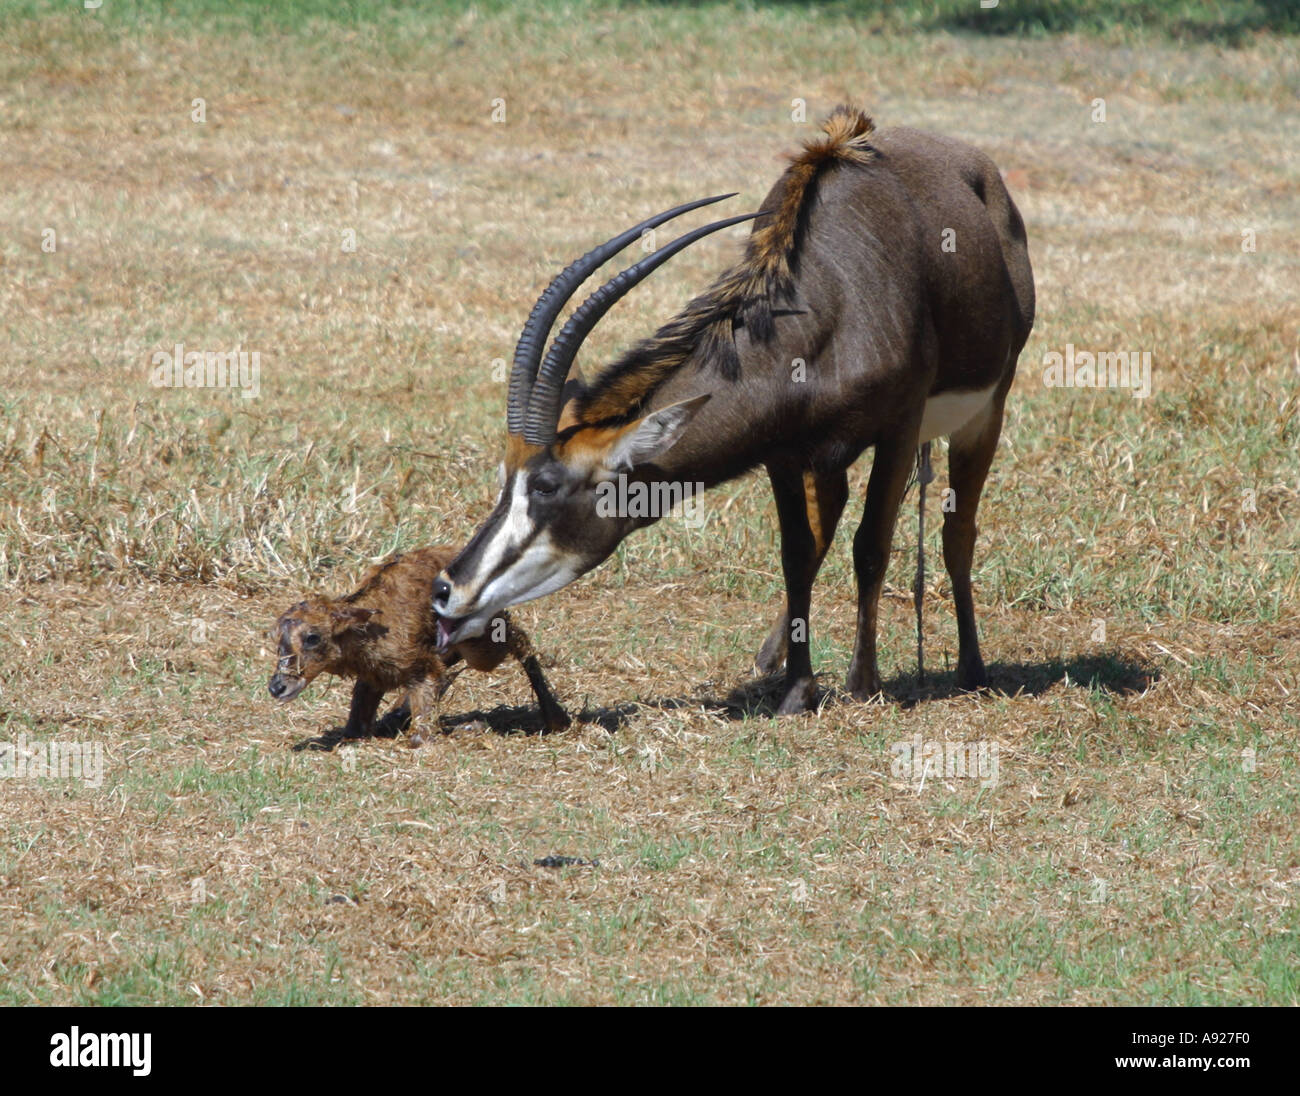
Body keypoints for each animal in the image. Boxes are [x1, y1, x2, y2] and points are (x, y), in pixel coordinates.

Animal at [269, 546, 571, 739]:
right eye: (277, 639)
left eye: (312, 637)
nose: (277, 687)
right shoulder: (373, 676)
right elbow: (355, 729)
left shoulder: (421, 668)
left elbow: (421, 735)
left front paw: (468, 728)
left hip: (483, 647)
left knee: (519, 640)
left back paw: (556, 718)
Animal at [432, 107, 1035, 715]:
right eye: (505, 478)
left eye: (547, 485)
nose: (446, 589)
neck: (833, 306)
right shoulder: (783, 453)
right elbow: (797, 552)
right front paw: (796, 690)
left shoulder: (898, 430)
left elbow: (871, 546)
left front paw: (863, 685)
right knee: (829, 521)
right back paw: (770, 658)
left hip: (987, 408)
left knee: (957, 532)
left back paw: (972, 668)